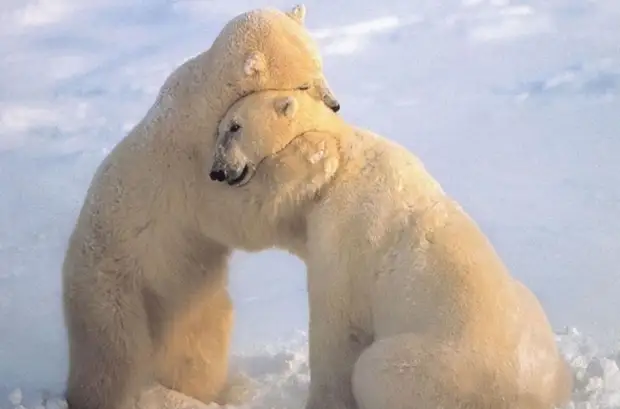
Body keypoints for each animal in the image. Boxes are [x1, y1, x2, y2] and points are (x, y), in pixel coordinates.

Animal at [61, 4, 342, 408]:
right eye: (303, 83)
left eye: (320, 65)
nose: (336, 104)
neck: (205, 100)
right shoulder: (194, 171)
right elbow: (240, 215)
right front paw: (316, 154)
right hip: (112, 292)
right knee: (113, 360)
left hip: (190, 298)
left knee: (201, 344)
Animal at [207, 90, 572, 408]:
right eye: (222, 128)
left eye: (234, 127)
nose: (216, 171)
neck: (344, 156)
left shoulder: (344, 231)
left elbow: (336, 323)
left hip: (432, 371)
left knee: (373, 368)